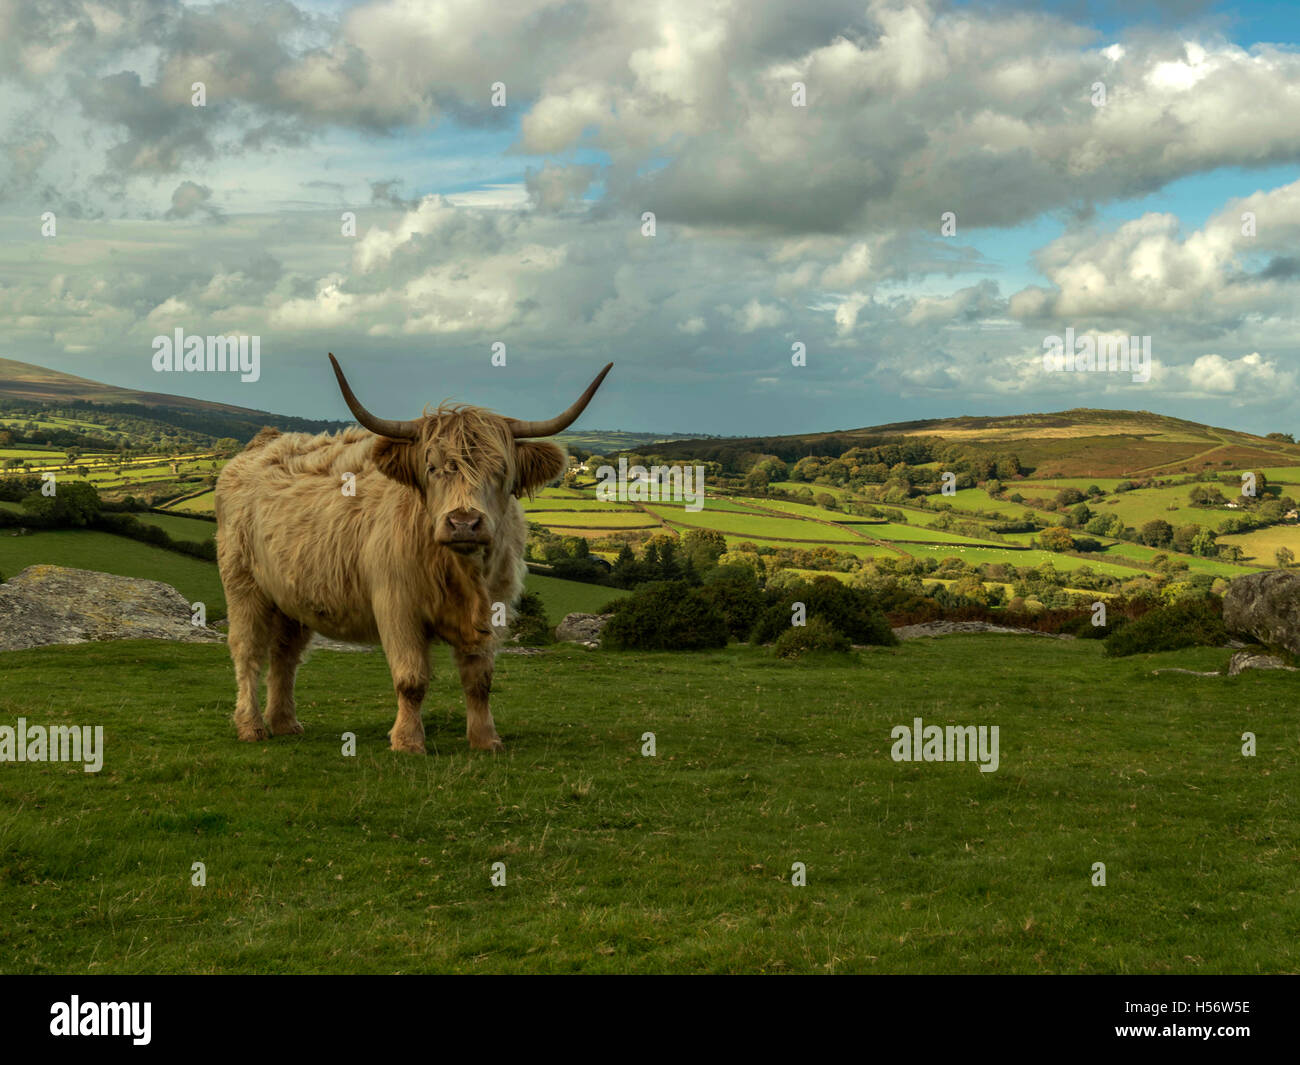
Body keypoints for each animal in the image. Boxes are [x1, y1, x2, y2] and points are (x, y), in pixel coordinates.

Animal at [214, 355, 612, 754]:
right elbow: (411, 679)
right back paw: (251, 726)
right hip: (244, 585)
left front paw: (486, 739)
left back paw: (285, 723)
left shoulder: (494, 610)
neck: (461, 573)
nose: (464, 522)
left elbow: (479, 681)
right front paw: (407, 741)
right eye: (432, 468)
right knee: (247, 652)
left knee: (285, 657)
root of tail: (264, 444)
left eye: (501, 470)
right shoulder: (397, 606)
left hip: (290, 599)